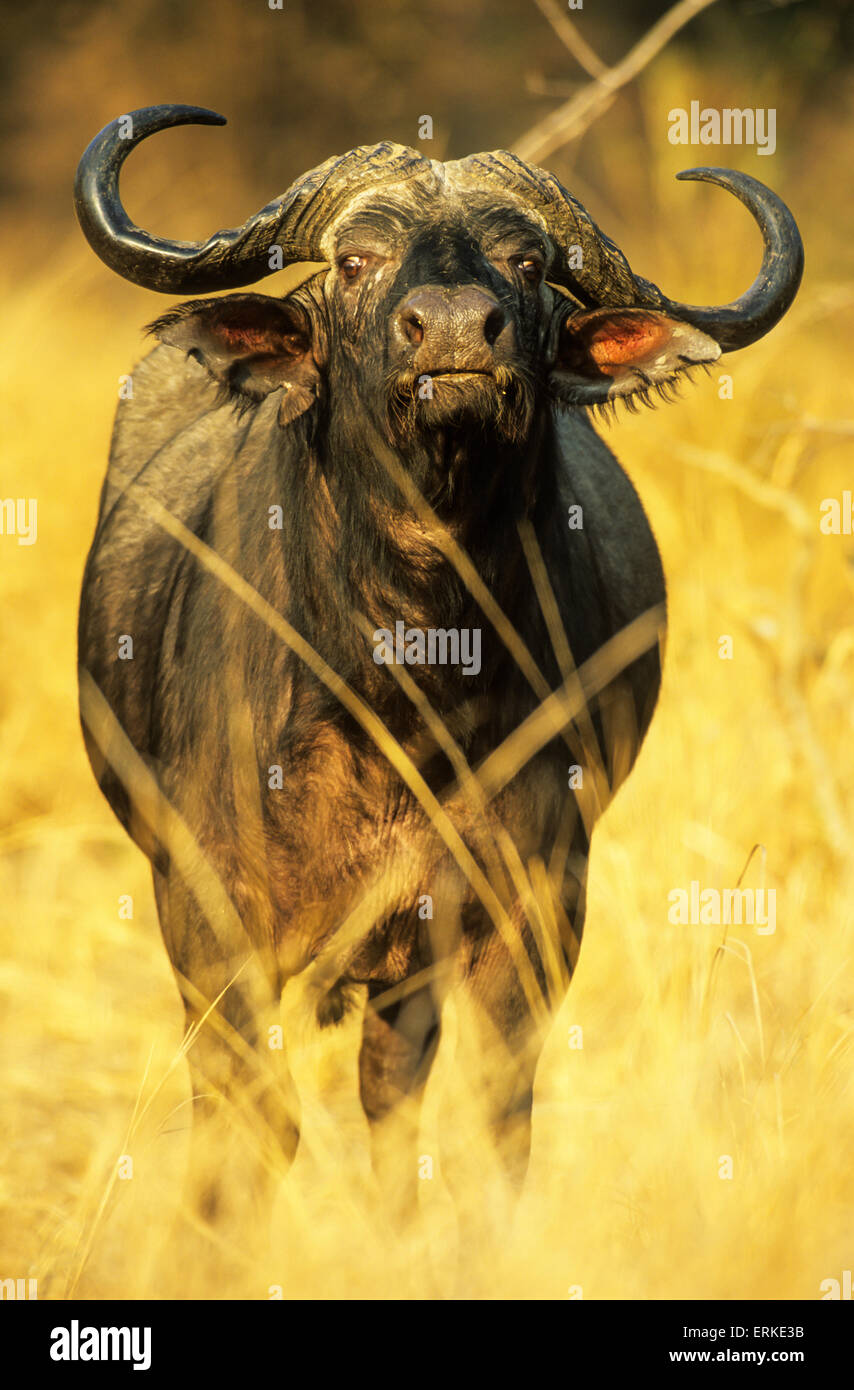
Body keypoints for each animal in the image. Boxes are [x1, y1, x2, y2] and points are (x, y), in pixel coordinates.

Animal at [74, 105, 803, 1232]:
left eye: (526, 262)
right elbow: (250, 1124)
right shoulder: (207, 910)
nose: (457, 333)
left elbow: (489, 1118)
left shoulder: (533, 906)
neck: (410, 671)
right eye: (355, 260)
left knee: (391, 1089)